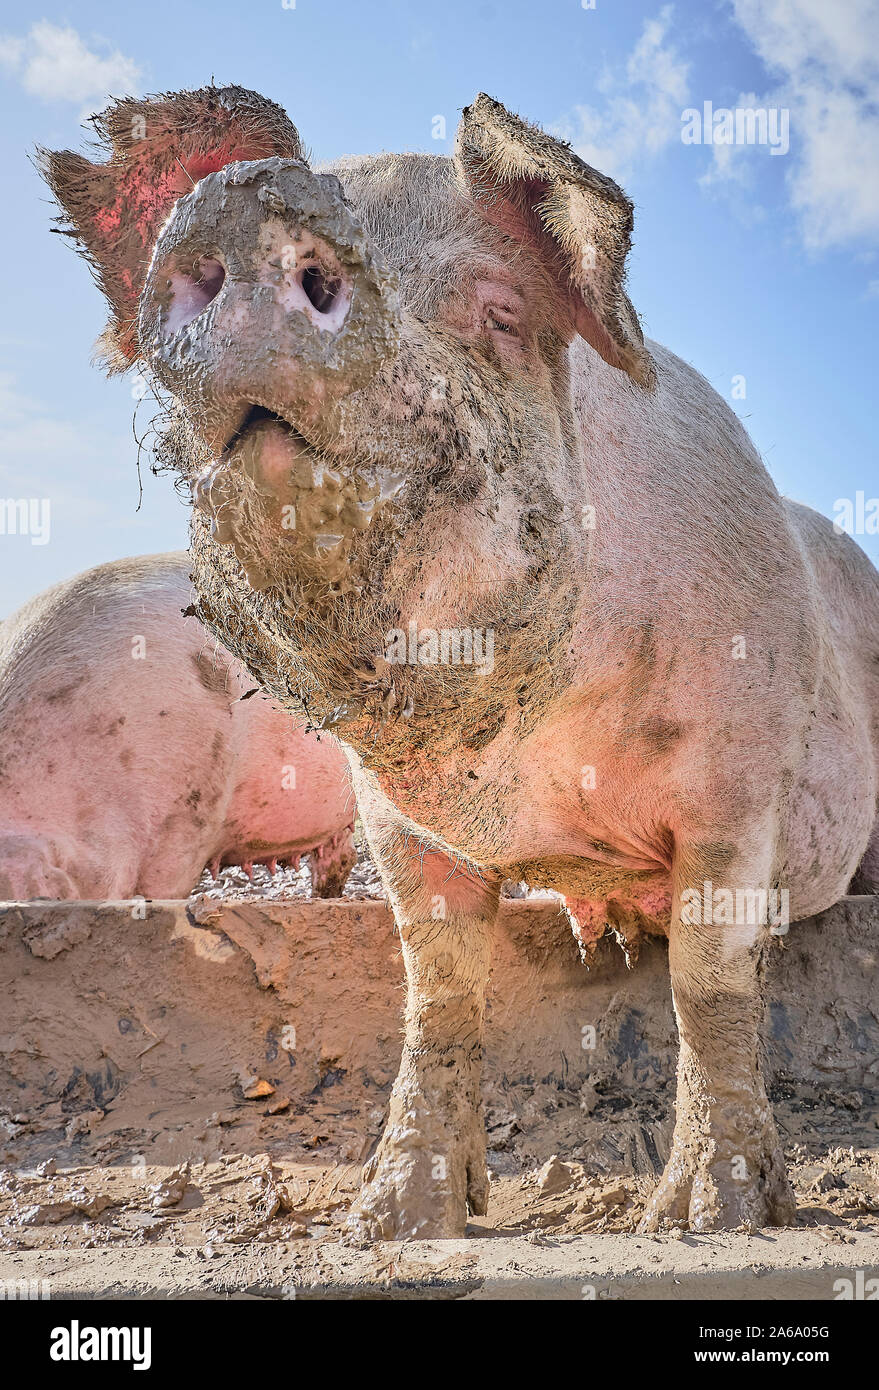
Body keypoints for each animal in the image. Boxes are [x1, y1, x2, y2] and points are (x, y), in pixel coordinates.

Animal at [41, 86, 879, 1236]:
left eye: (498, 309)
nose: (248, 204)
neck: (533, 756)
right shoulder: (391, 816)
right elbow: (436, 994)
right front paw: (390, 1222)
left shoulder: (740, 777)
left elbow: (710, 985)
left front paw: (709, 1217)